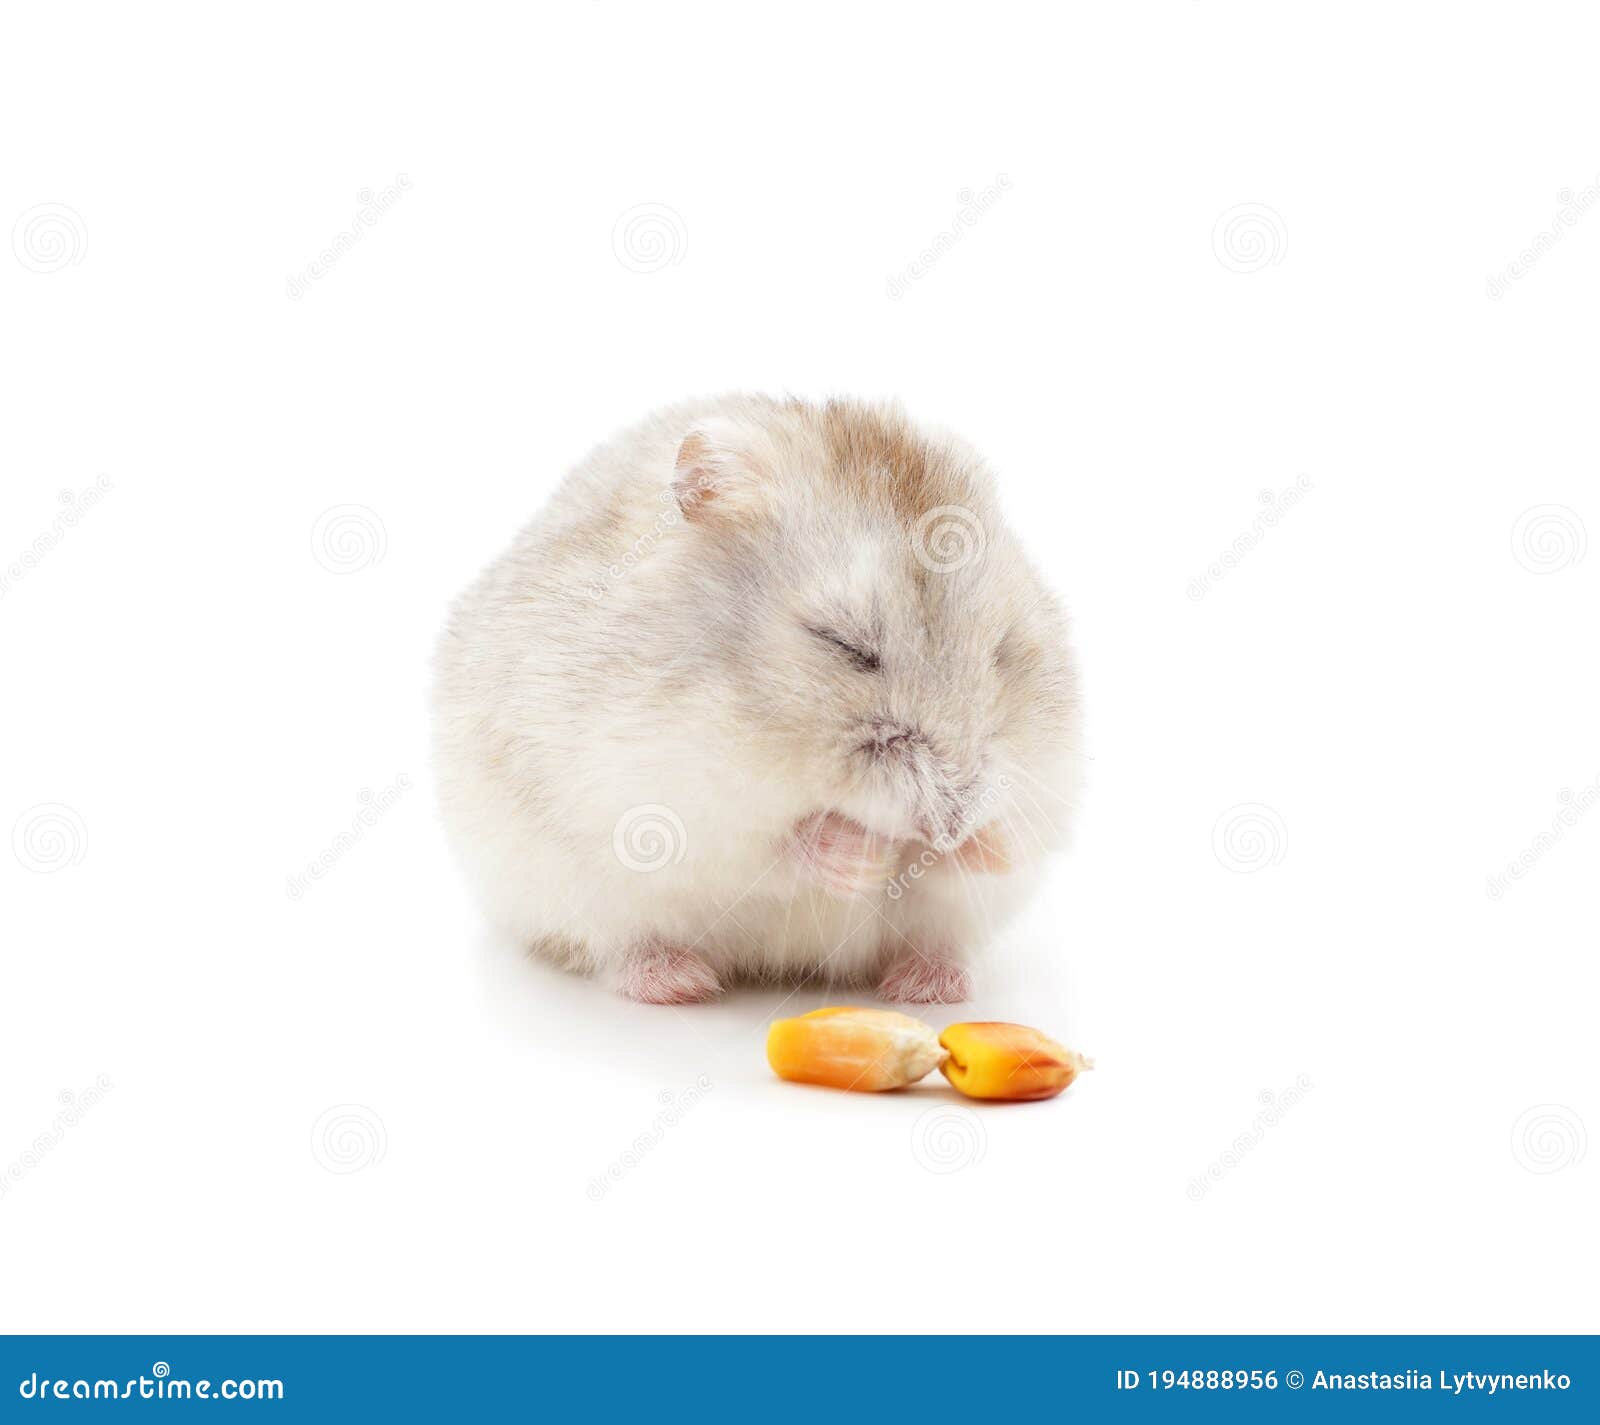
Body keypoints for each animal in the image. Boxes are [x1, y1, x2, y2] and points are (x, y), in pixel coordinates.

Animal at [430, 395, 1082, 1004]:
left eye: (1002, 651)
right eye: (843, 642)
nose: (947, 822)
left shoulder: (1047, 789)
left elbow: (1007, 844)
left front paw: (968, 845)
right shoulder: (664, 799)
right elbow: (773, 844)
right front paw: (866, 859)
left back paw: (930, 983)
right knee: (622, 947)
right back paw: (680, 981)